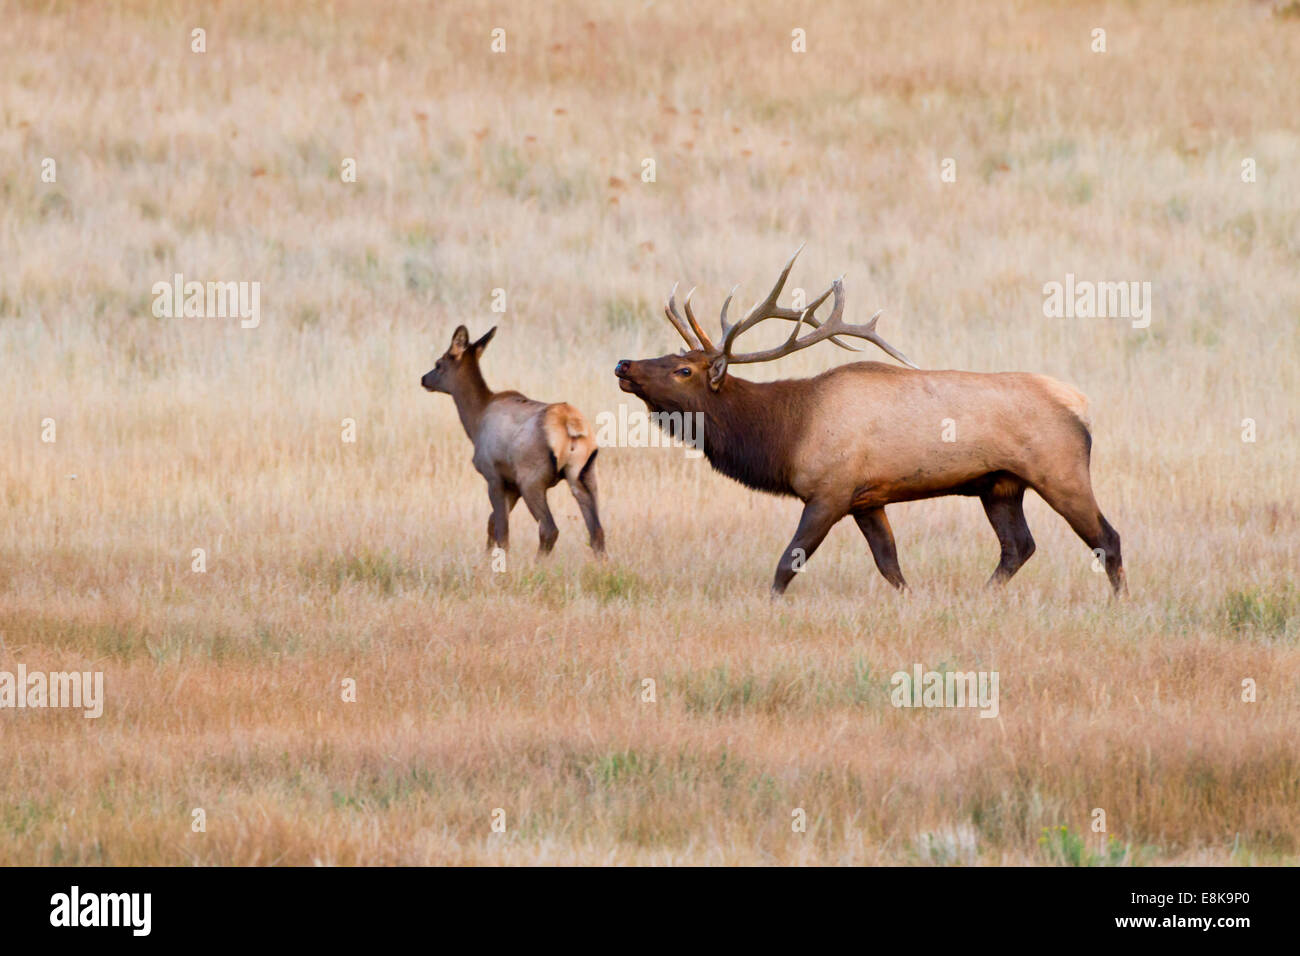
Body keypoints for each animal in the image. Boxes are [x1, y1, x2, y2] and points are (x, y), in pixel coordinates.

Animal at [422, 325, 605, 557]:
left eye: (438, 363)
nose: (424, 379)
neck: (475, 419)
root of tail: (571, 425)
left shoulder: (494, 476)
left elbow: (502, 531)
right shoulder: (512, 484)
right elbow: (491, 523)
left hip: (532, 479)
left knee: (549, 529)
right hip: (585, 474)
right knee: (597, 531)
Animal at [613, 246, 1127, 598]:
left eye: (684, 370)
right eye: (671, 355)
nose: (623, 364)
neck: (784, 435)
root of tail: (1081, 405)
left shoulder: (830, 490)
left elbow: (787, 563)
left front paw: (770, 604)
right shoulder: (868, 499)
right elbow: (890, 565)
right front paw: (911, 601)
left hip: (1060, 471)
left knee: (1107, 538)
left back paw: (1118, 604)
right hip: (1000, 485)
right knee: (1018, 546)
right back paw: (984, 598)